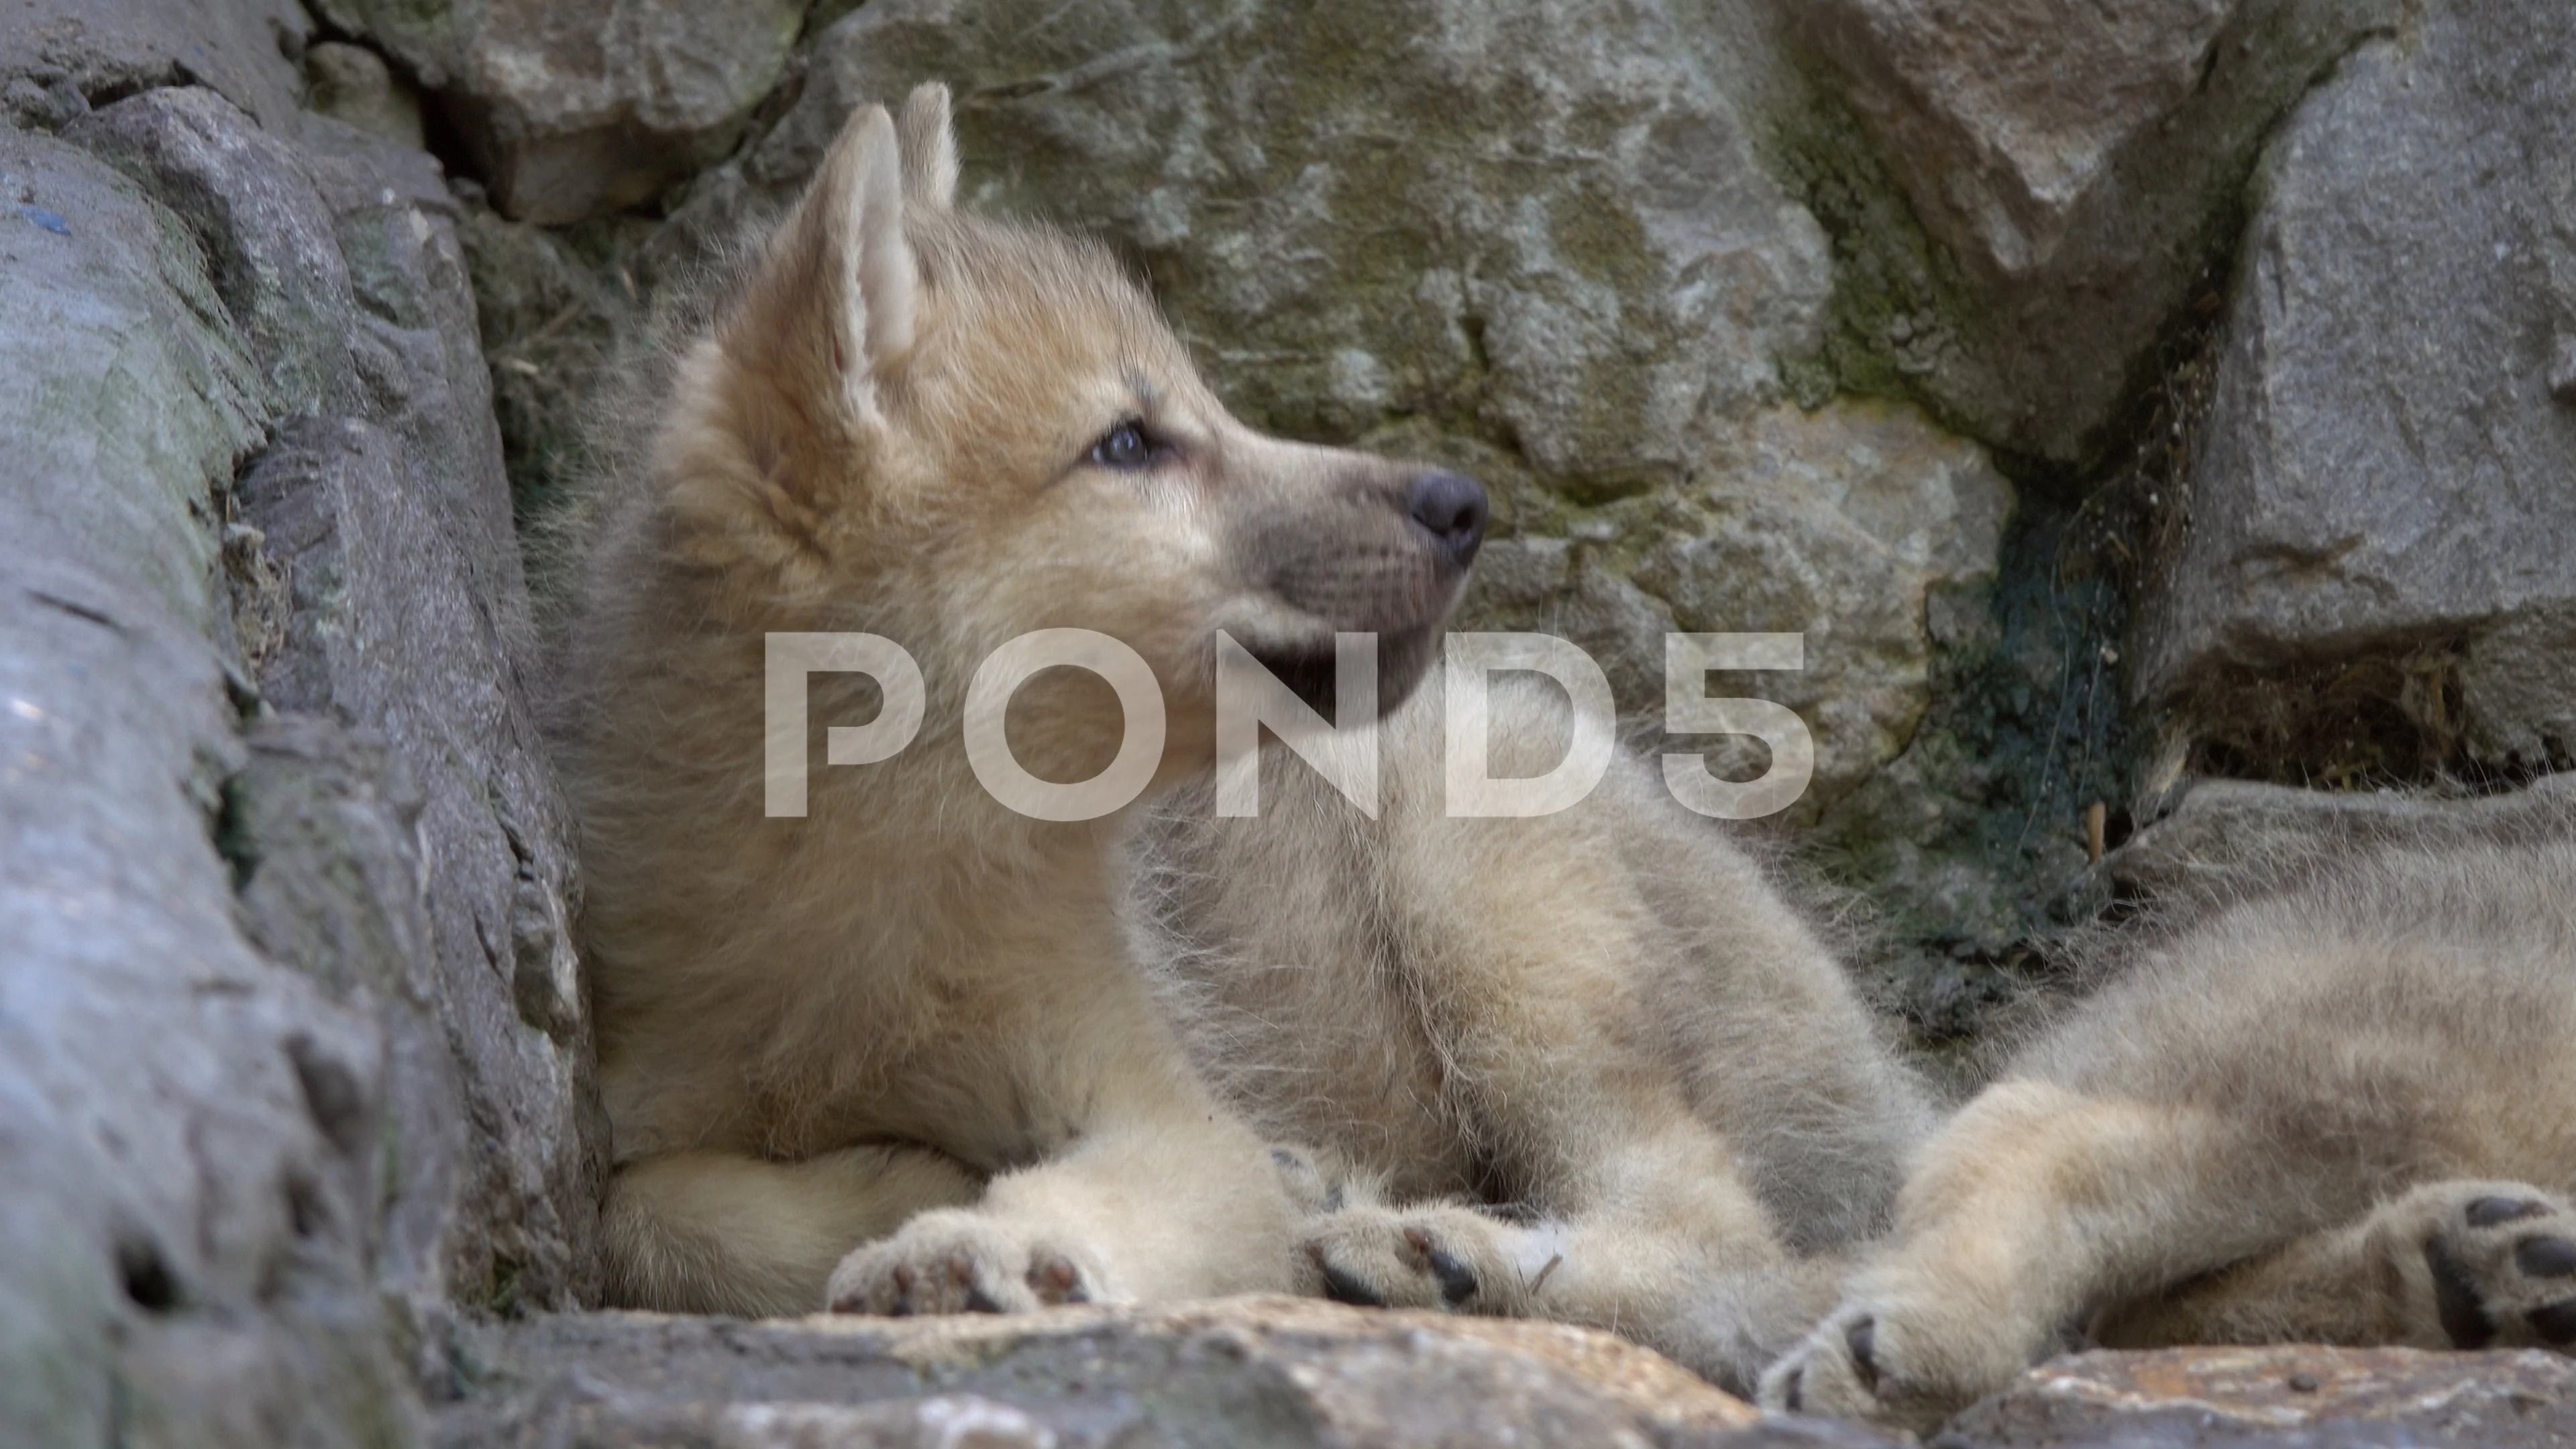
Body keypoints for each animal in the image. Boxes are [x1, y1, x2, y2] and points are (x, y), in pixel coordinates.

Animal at [547, 83, 1931, 1392]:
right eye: (1127, 444)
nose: (1464, 503)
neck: (866, 888)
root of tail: (1895, 1090)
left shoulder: (1161, 1108)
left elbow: (1102, 1192)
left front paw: (976, 1240)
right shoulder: (638, 1104)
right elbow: (650, 1215)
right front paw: (903, 1190)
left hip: (1500, 887)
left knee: (1731, 1253)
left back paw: (1432, 1250)